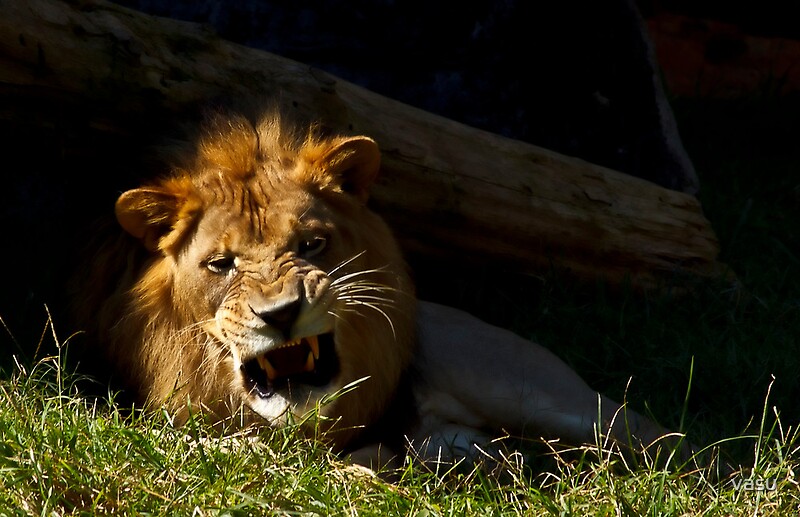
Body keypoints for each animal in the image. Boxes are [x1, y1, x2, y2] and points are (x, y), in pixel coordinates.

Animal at [74, 107, 691, 469]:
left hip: (532, 390)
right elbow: (187, 441)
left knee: (663, 436)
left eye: (312, 244)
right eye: (221, 264)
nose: (281, 314)